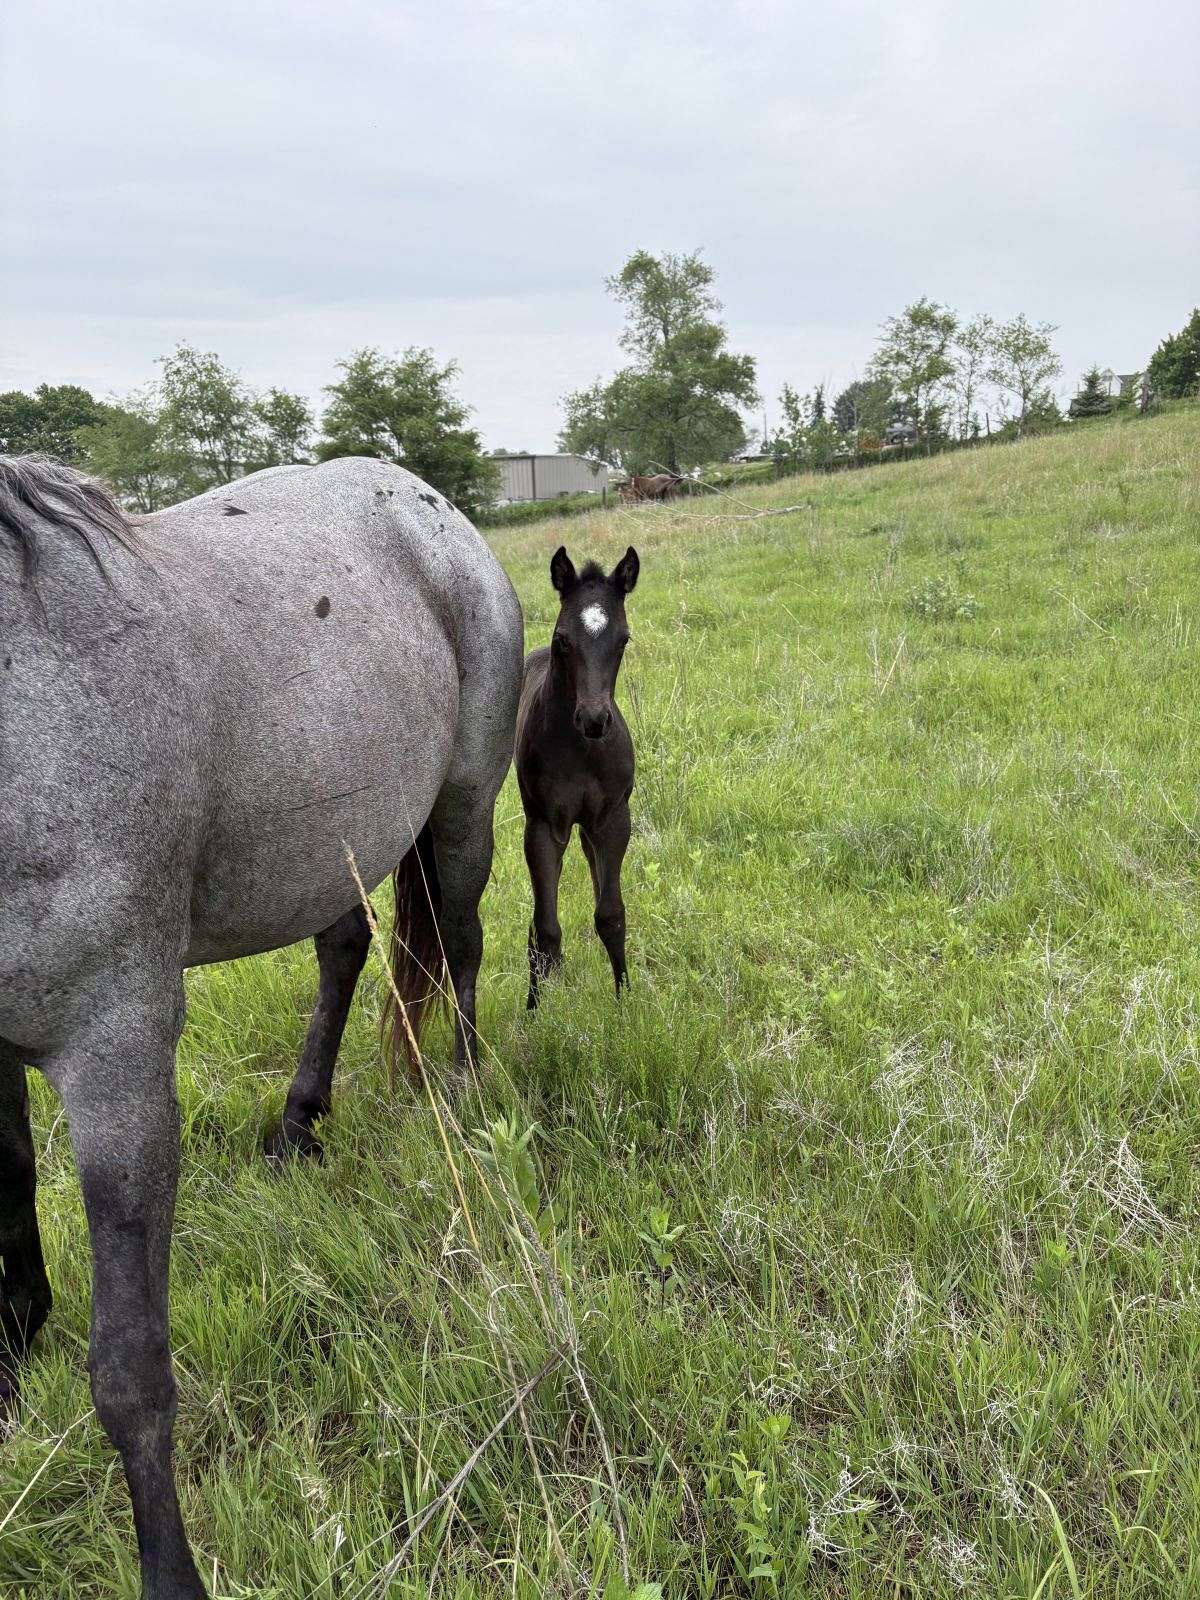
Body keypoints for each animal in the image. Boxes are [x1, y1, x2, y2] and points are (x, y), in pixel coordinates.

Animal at [0, 454, 523, 1599]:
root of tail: (425, 501)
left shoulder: (116, 1059)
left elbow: (131, 1371)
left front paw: (170, 1573)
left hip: (462, 807)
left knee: (461, 944)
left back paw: (466, 1100)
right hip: (331, 839)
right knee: (344, 952)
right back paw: (297, 1126)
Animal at [515, 544, 639, 1009]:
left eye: (623, 640)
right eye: (563, 640)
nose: (594, 720)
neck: (582, 751)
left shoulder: (613, 820)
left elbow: (611, 914)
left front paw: (625, 1001)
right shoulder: (543, 826)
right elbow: (544, 930)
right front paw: (535, 1010)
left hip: (590, 828)